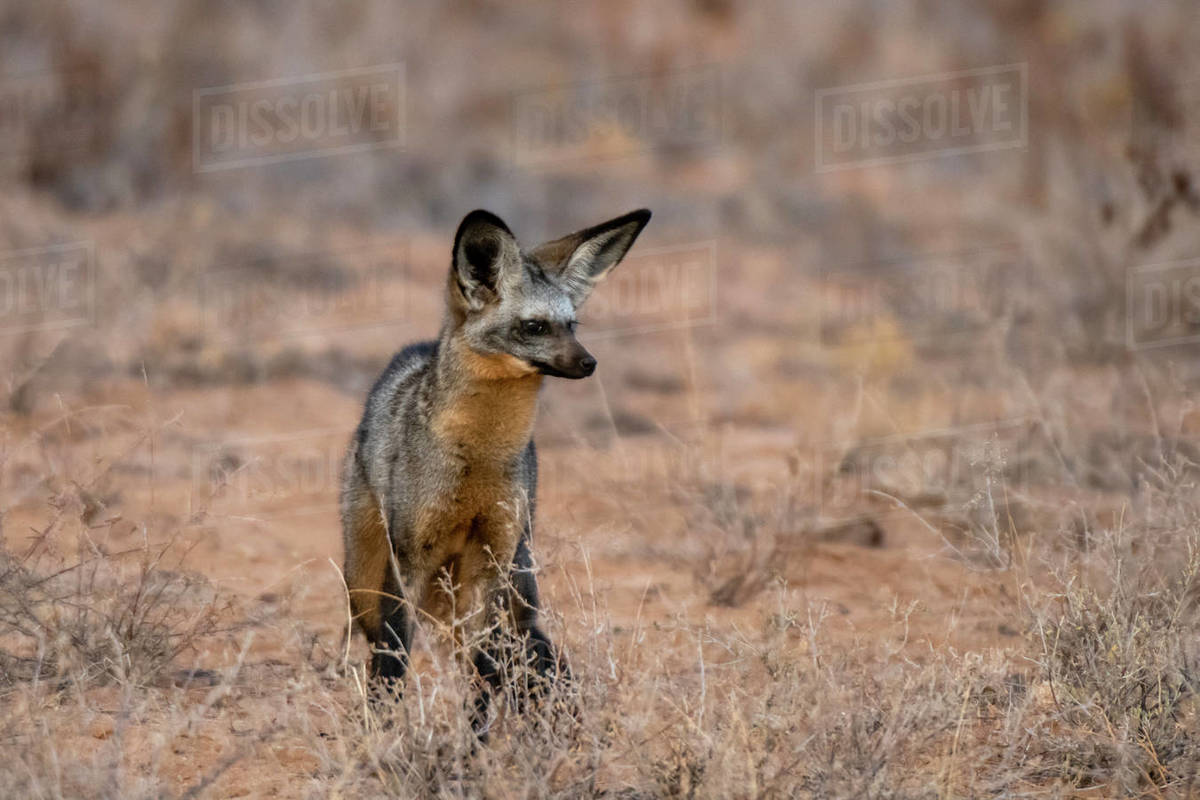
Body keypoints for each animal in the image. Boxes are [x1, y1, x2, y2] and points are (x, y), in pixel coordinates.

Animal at [340, 207, 651, 734]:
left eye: (572, 324)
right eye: (534, 326)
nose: (589, 363)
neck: (477, 461)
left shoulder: (492, 558)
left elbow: (487, 671)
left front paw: (476, 739)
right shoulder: (409, 560)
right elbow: (395, 658)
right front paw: (386, 730)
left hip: (509, 587)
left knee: (531, 657)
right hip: (364, 581)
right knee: (382, 643)